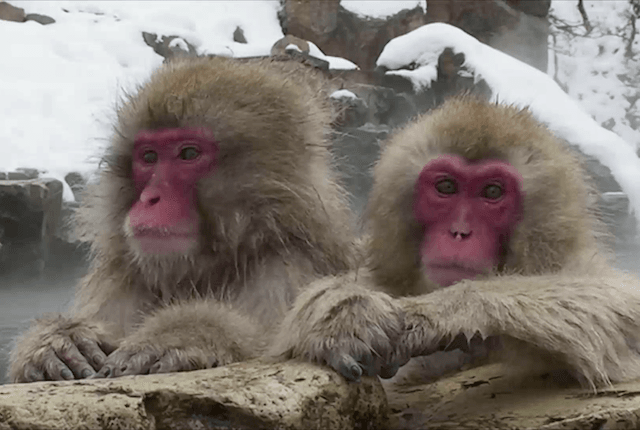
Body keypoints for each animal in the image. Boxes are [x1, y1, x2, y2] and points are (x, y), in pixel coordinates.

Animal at [8, 56, 356, 383]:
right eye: (148, 157)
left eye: (188, 154)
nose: (149, 198)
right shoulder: (118, 279)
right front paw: (56, 341)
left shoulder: (287, 267)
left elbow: (268, 349)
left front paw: (181, 336)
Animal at [270, 95, 640, 391]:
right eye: (446, 187)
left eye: (492, 191)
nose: (460, 232)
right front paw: (341, 313)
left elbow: (625, 305)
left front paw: (443, 311)